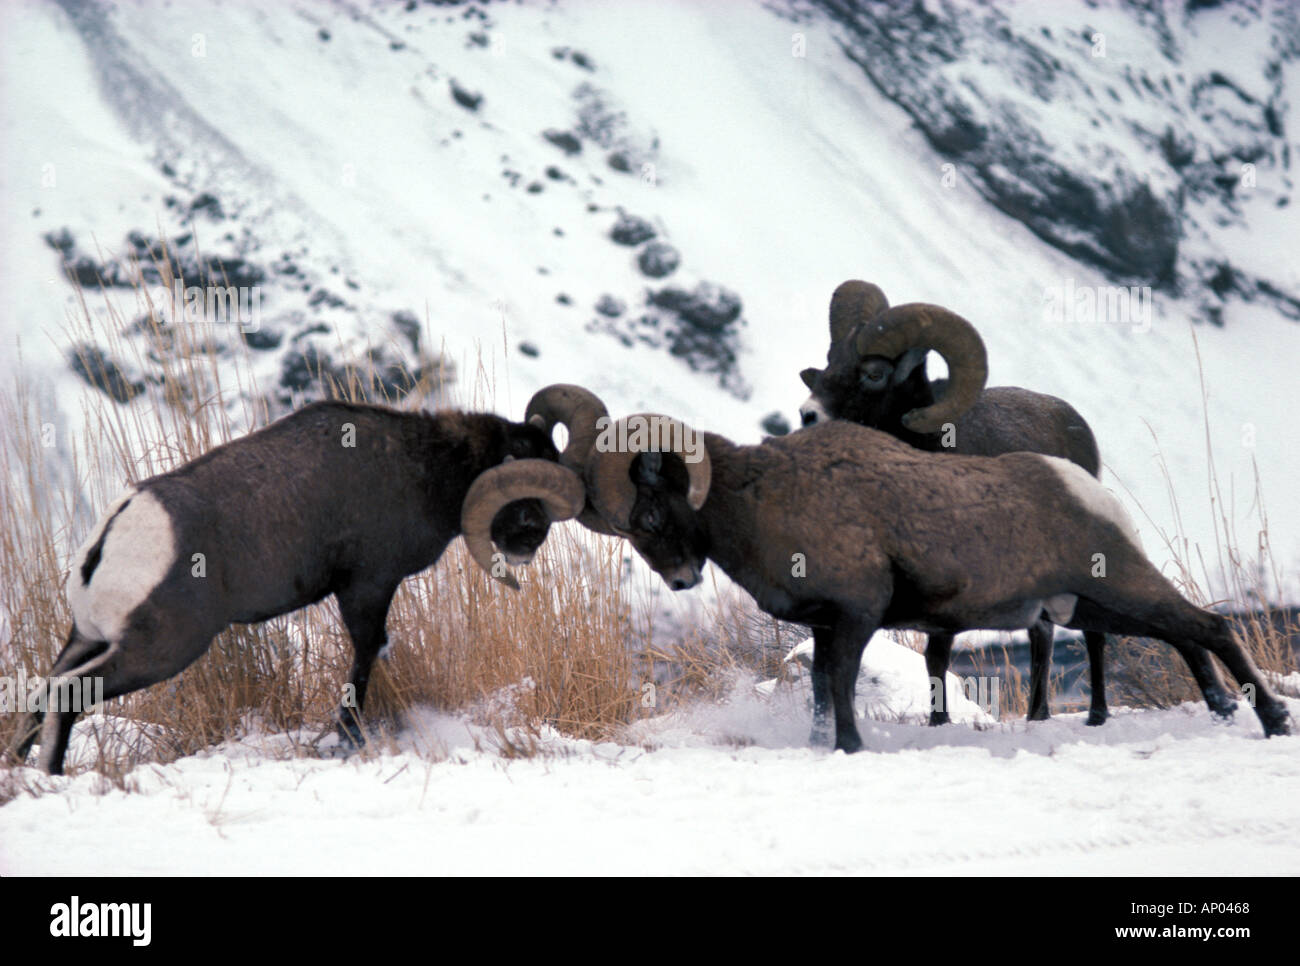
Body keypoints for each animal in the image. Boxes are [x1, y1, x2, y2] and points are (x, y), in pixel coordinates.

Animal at [6, 395, 588, 775]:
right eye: (527, 499)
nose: (532, 539)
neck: (424, 468)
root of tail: (112, 535)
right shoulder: (367, 586)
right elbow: (365, 655)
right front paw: (347, 739)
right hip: (161, 649)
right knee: (66, 692)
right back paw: (51, 776)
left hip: (87, 638)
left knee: (41, 690)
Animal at [569, 413, 1288, 752]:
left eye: (652, 514)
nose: (681, 581)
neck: (762, 500)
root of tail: (1087, 490)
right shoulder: (827, 625)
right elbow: (820, 690)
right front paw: (820, 744)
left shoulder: (857, 615)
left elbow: (840, 684)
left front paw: (850, 748)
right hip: (1093, 607)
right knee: (1183, 632)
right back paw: (1229, 711)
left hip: (1116, 590)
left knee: (1209, 625)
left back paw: (1274, 720)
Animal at [797, 281, 1120, 726]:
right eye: (831, 361)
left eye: (874, 373)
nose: (808, 415)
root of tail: (1076, 426)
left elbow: (936, 656)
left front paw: (939, 723)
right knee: (1042, 632)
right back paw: (1037, 716)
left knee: (1091, 632)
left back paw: (1097, 714)